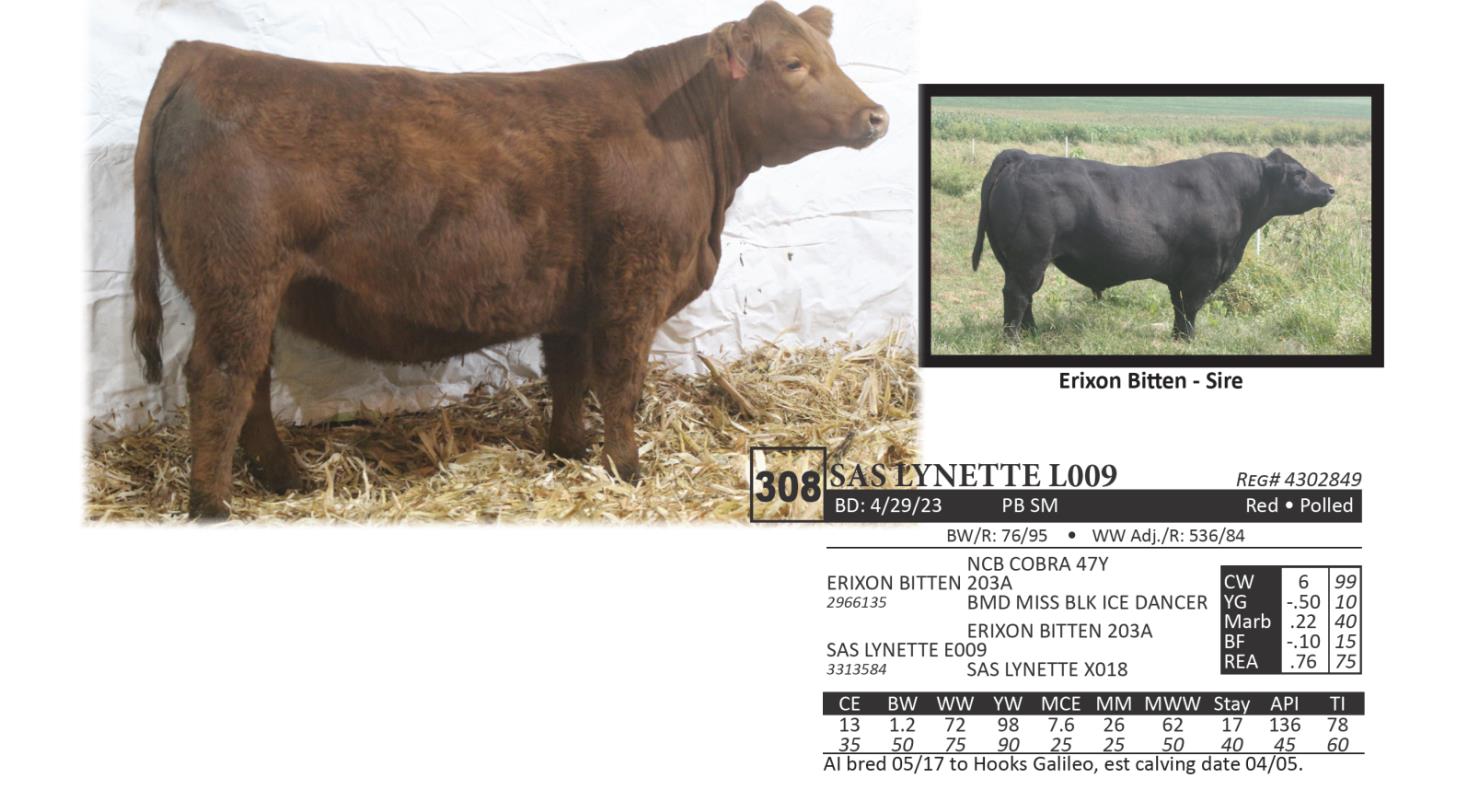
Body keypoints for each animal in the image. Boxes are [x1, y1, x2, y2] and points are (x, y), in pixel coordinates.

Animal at [130, 3, 888, 519]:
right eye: (792, 64)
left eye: (830, 54)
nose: (877, 116)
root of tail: (204, 53)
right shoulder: (633, 285)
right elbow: (620, 380)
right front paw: (627, 466)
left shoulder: (576, 295)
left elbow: (569, 372)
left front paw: (570, 449)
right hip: (237, 279)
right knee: (221, 378)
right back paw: (211, 505)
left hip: (254, 290)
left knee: (252, 378)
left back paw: (284, 479)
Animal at [968, 148, 1335, 340]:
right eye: (1299, 173)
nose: (1330, 188)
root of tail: (1024, 157)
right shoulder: (1204, 267)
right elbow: (1192, 305)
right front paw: (1189, 340)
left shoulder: (1180, 272)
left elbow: (1179, 306)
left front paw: (1176, 337)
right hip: (1029, 257)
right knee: (1017, 296)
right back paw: (1014, 339)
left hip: (1020, 260)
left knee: (1025, 296)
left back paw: (1032, 333)